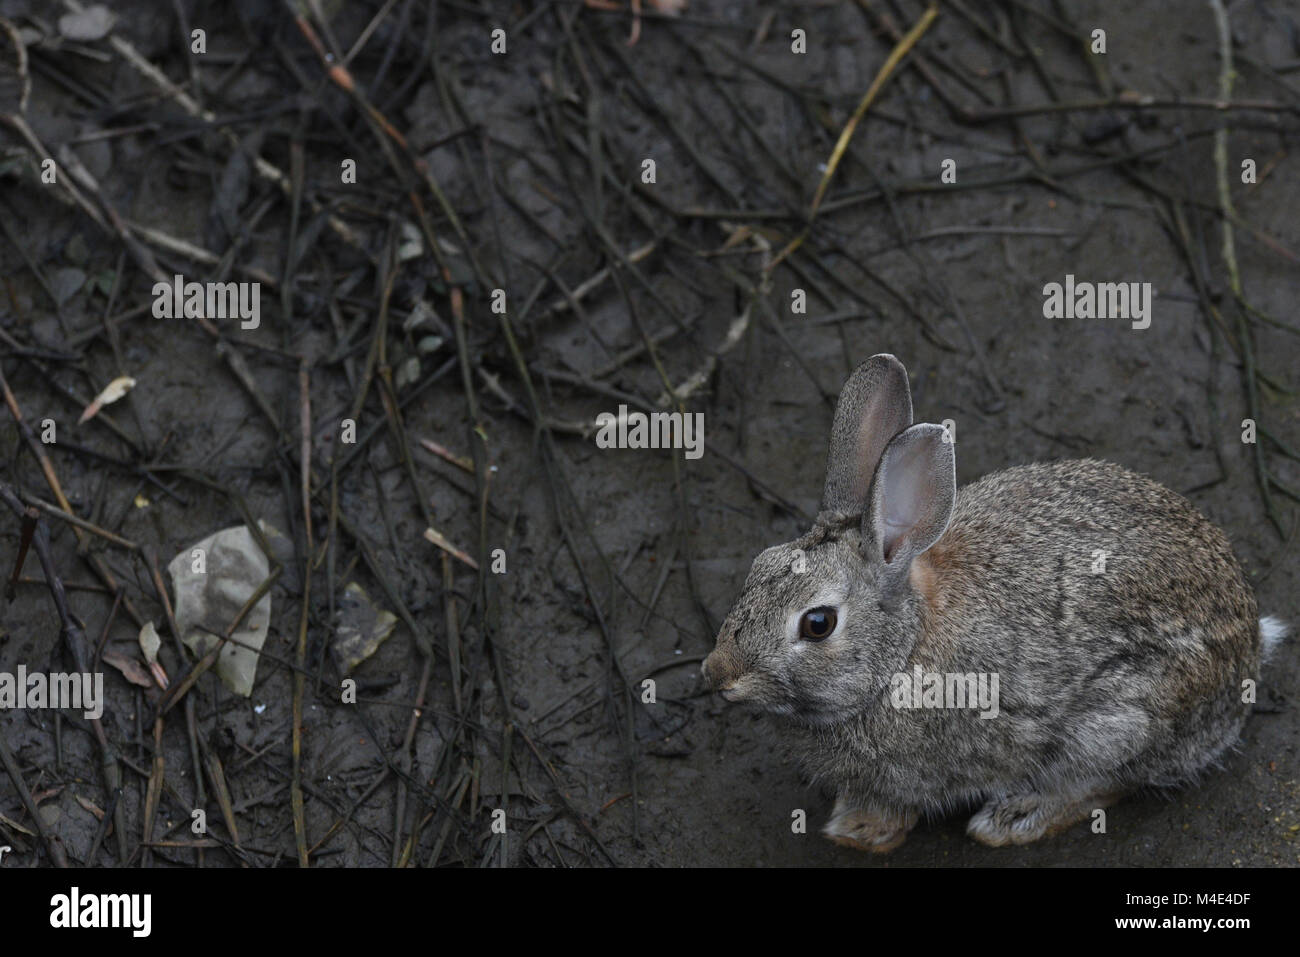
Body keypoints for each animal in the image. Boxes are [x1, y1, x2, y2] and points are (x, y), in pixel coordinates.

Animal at [702, 353, 1284, 852]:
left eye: (818, 623)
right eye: (760, 563)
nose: (717, 673)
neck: (904, 648)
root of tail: (1250, 649)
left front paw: (860, 830)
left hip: (1124, 717)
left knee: (1104, 782)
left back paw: (1012, 818)